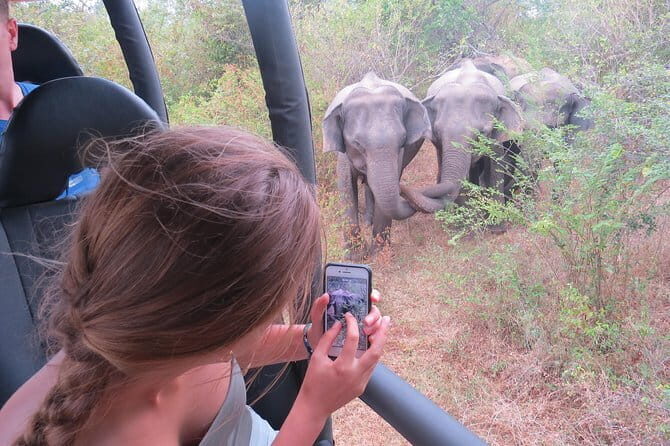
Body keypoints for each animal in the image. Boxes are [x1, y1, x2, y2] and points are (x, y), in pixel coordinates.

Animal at [323, 71, 431, 258]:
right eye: (357, 143)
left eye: (403, 140)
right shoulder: (343, 151)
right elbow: (346, 185)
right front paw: (355, 256)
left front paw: (379, 254)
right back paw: (367, 222)